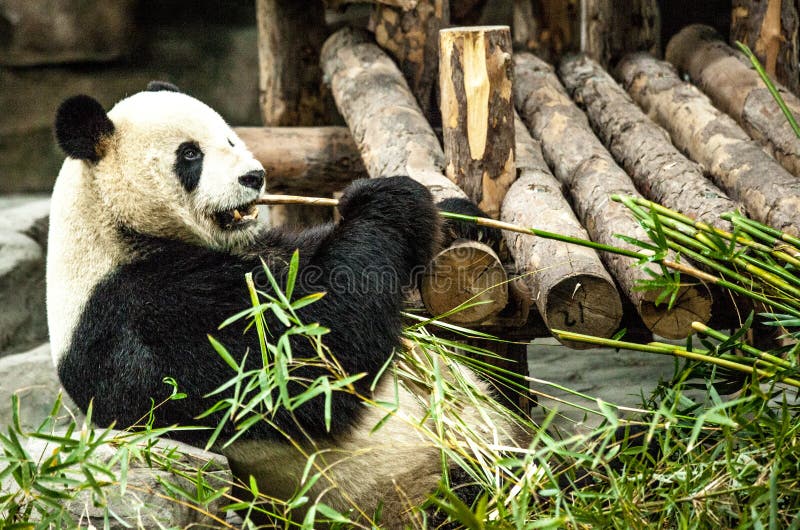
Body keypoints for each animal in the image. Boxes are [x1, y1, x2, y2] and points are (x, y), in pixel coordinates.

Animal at [47, 81, 522, 527]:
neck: (115, 229)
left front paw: (462, 219)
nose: (253, 177)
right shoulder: (142, 316)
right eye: (189, 155)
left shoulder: (261, 251)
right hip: (413, 490)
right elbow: (304, 361)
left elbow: (310, 264)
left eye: (230, 139)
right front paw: (389, 200)